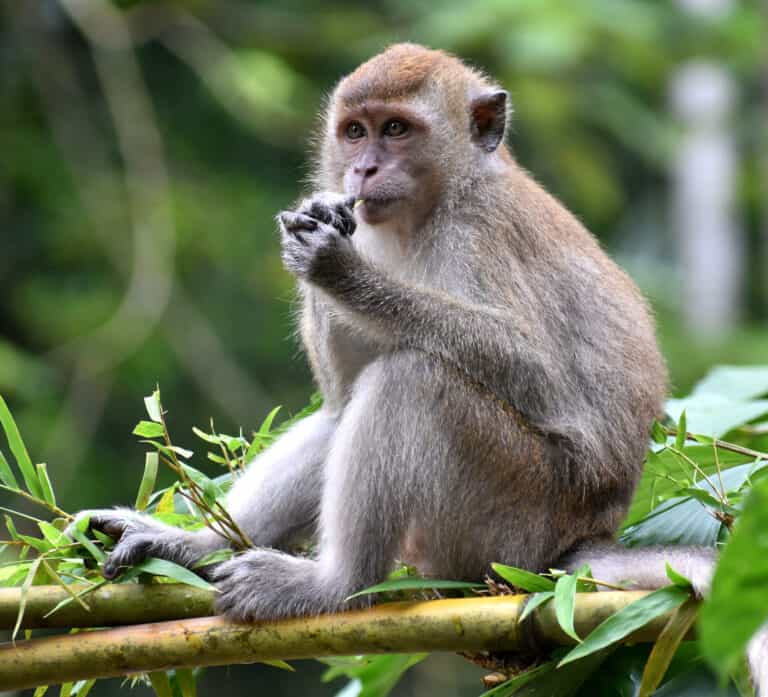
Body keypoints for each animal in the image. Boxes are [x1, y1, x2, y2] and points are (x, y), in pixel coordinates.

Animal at [72, 44, 765, 691]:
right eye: (355, 131)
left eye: (397, 129)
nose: (363, 168)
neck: (439, 200)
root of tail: (572, 546)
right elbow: (339, 392)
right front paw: (319, 215)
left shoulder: (477, 234)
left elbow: (533, 368)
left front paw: (339, 270)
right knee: (345, 411)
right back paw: (196, 547)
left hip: (508, 525)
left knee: (415, 377)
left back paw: (334, 584)